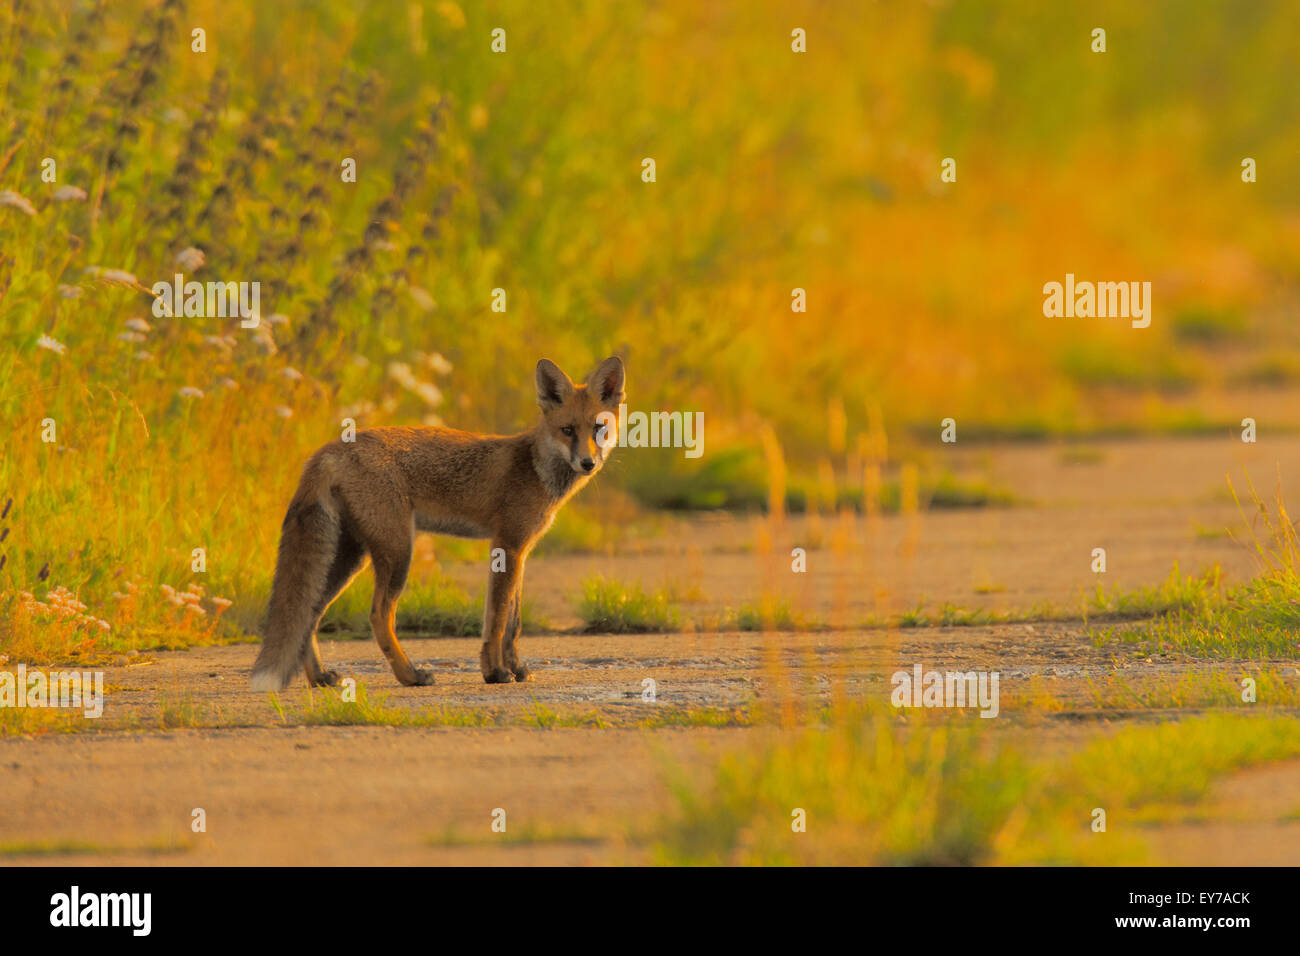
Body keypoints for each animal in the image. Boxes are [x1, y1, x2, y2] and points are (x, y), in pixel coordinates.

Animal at [249, 355, 625, 691]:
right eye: (567, 430)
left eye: (599, 428)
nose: (588, 463)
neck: (535, 467)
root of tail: (326, 450)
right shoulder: (506, 545)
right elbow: (496, 620)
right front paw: (494, 672)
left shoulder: (522, 549)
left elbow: (514, 623)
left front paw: (516, 669)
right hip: (398, 551)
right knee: (379, 616)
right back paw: (410, 675)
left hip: (349, 557)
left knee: (309, 616)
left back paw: (319, 678)